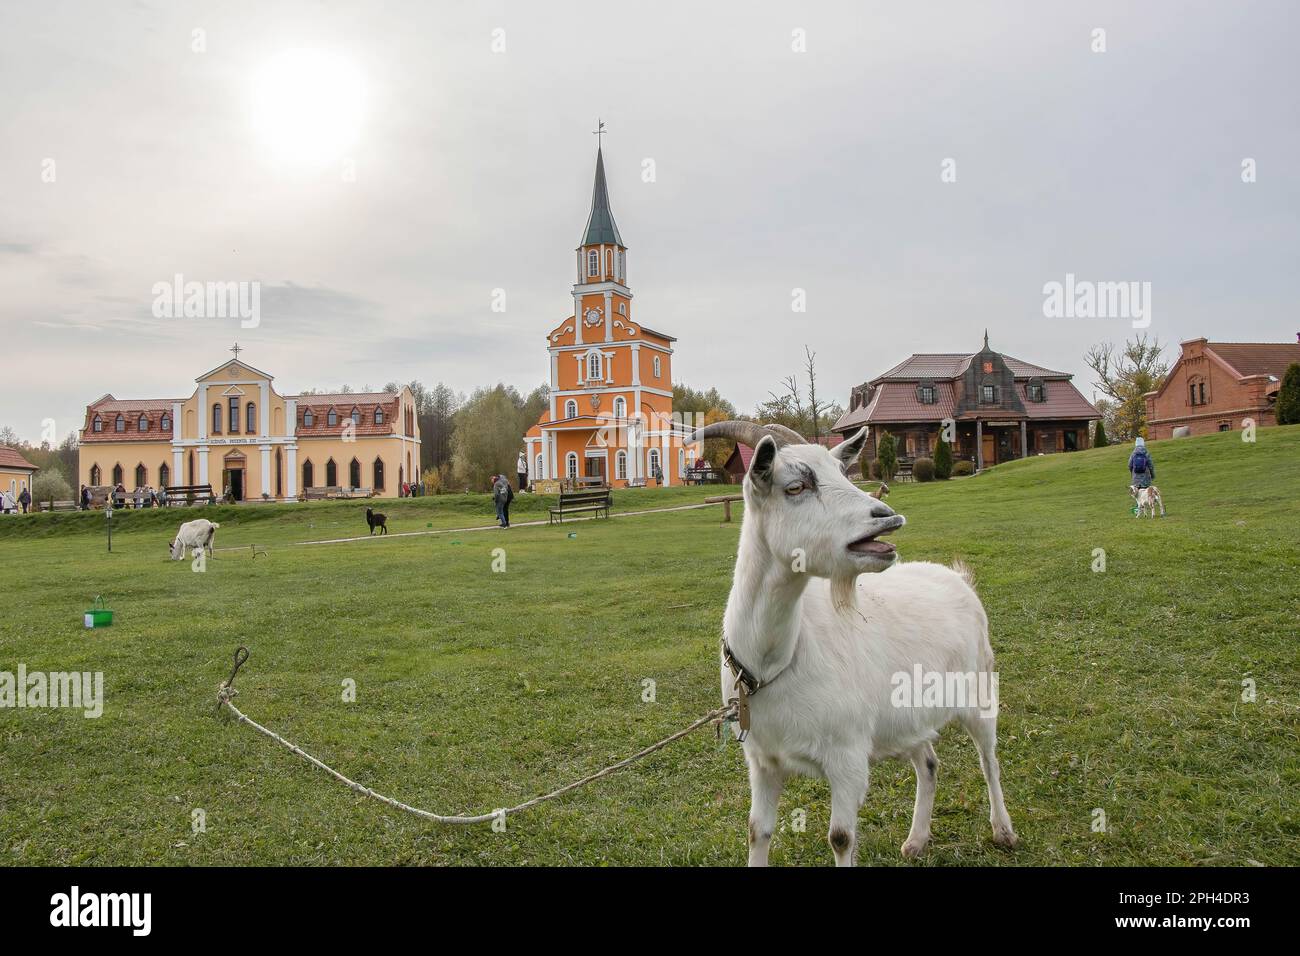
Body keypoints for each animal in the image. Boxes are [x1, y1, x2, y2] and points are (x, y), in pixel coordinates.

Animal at [695, 421, 1016, 866]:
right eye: (795, 486)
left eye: (842, 472)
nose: (886, 516)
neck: (776, 660)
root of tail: (957, 577)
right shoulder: (762, 760)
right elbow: (757, 831)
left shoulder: (846, 758)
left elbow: (841, 837)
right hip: (908, 716)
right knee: (929, 763)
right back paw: (916, 840)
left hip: (980, 691)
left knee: (989, 759)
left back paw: (1003, 830)